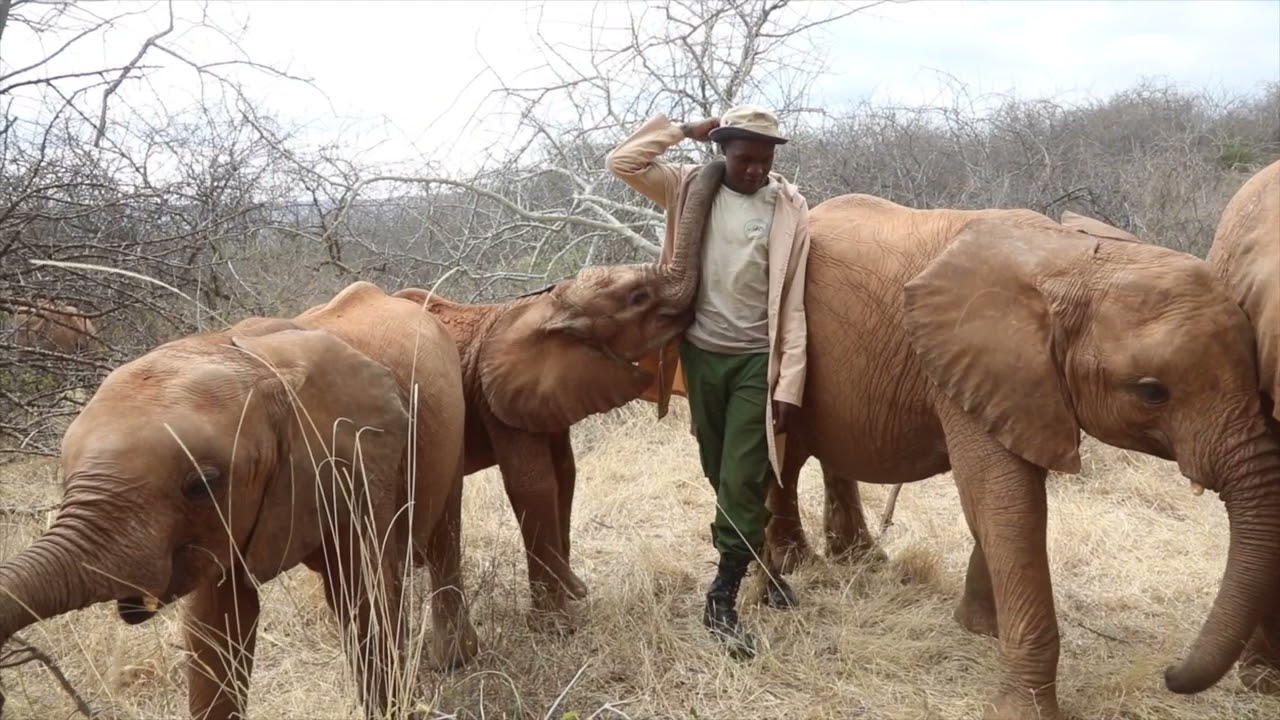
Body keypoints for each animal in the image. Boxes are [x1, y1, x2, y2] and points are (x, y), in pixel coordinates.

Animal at [0, 281, 477, 720]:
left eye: (202, 484)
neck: (254, 361)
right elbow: (217, 624)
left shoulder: (359, 461)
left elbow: (367, 604)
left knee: (444, 536)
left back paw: (454, 660)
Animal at [389, 162, 724, 627]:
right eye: (638, 297)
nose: (718, 160)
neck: (548, 305)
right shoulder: (497, 400)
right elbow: (534, 483)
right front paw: (557, 623)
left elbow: (565, 472)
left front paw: (568, 600)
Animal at [674, 193, 1280, 719]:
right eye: (1153, 391)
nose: (1169, 674)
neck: (1074, 259)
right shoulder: (969, 365)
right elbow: (1007, 505)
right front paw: (1020, 708)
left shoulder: (1018, 382)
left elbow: (999, 504)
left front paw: (979, 629)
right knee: (783, 454)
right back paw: (791, 576)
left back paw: (857, 563)